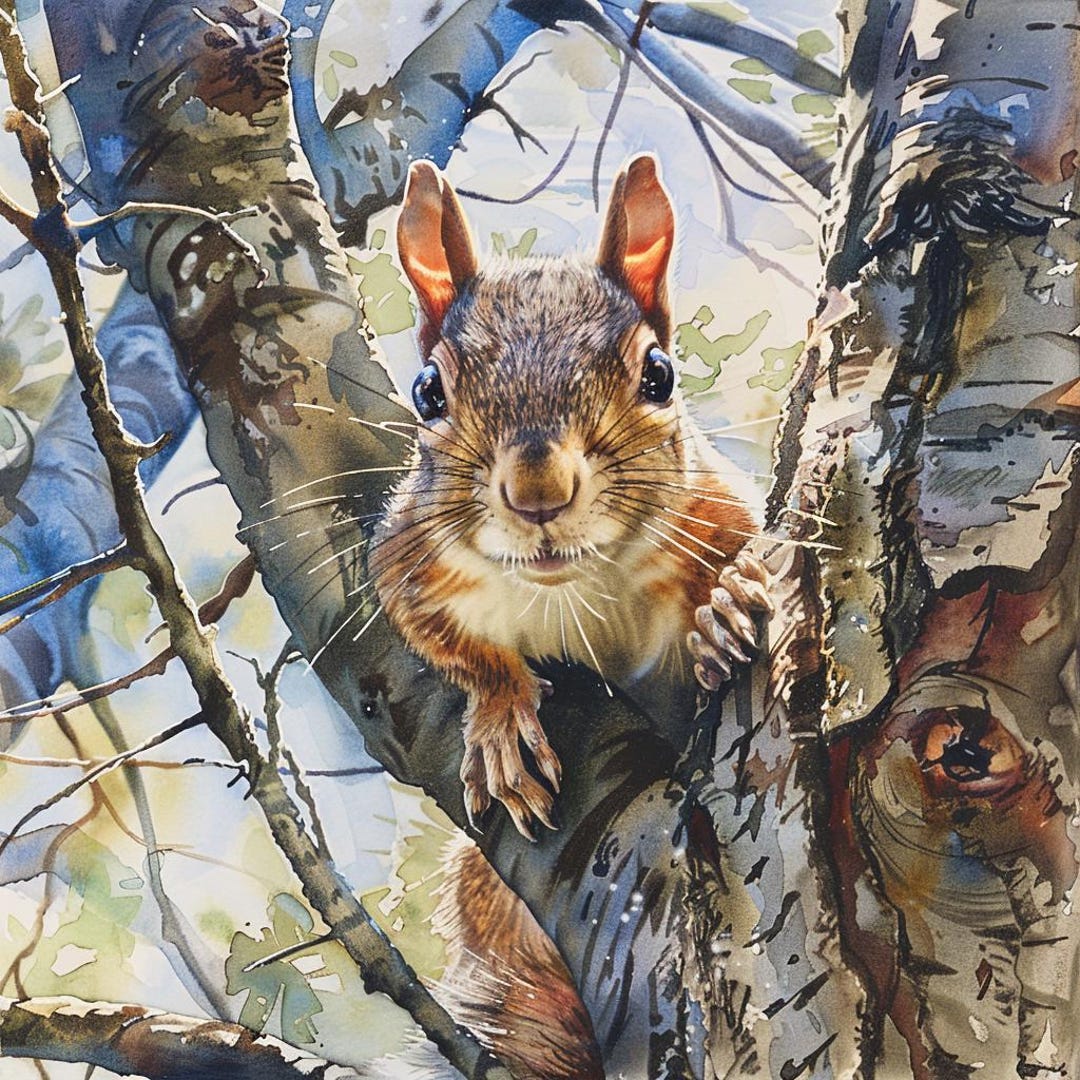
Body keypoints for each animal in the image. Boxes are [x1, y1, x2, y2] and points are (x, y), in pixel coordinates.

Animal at [372, 154, 772, 839]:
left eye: (659, 374)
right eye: (427, 391)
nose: (539, 494)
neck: (582, 586)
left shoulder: (716, 509)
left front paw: (726, 604)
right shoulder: (410, 559)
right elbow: (448, 643)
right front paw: (502, 721)